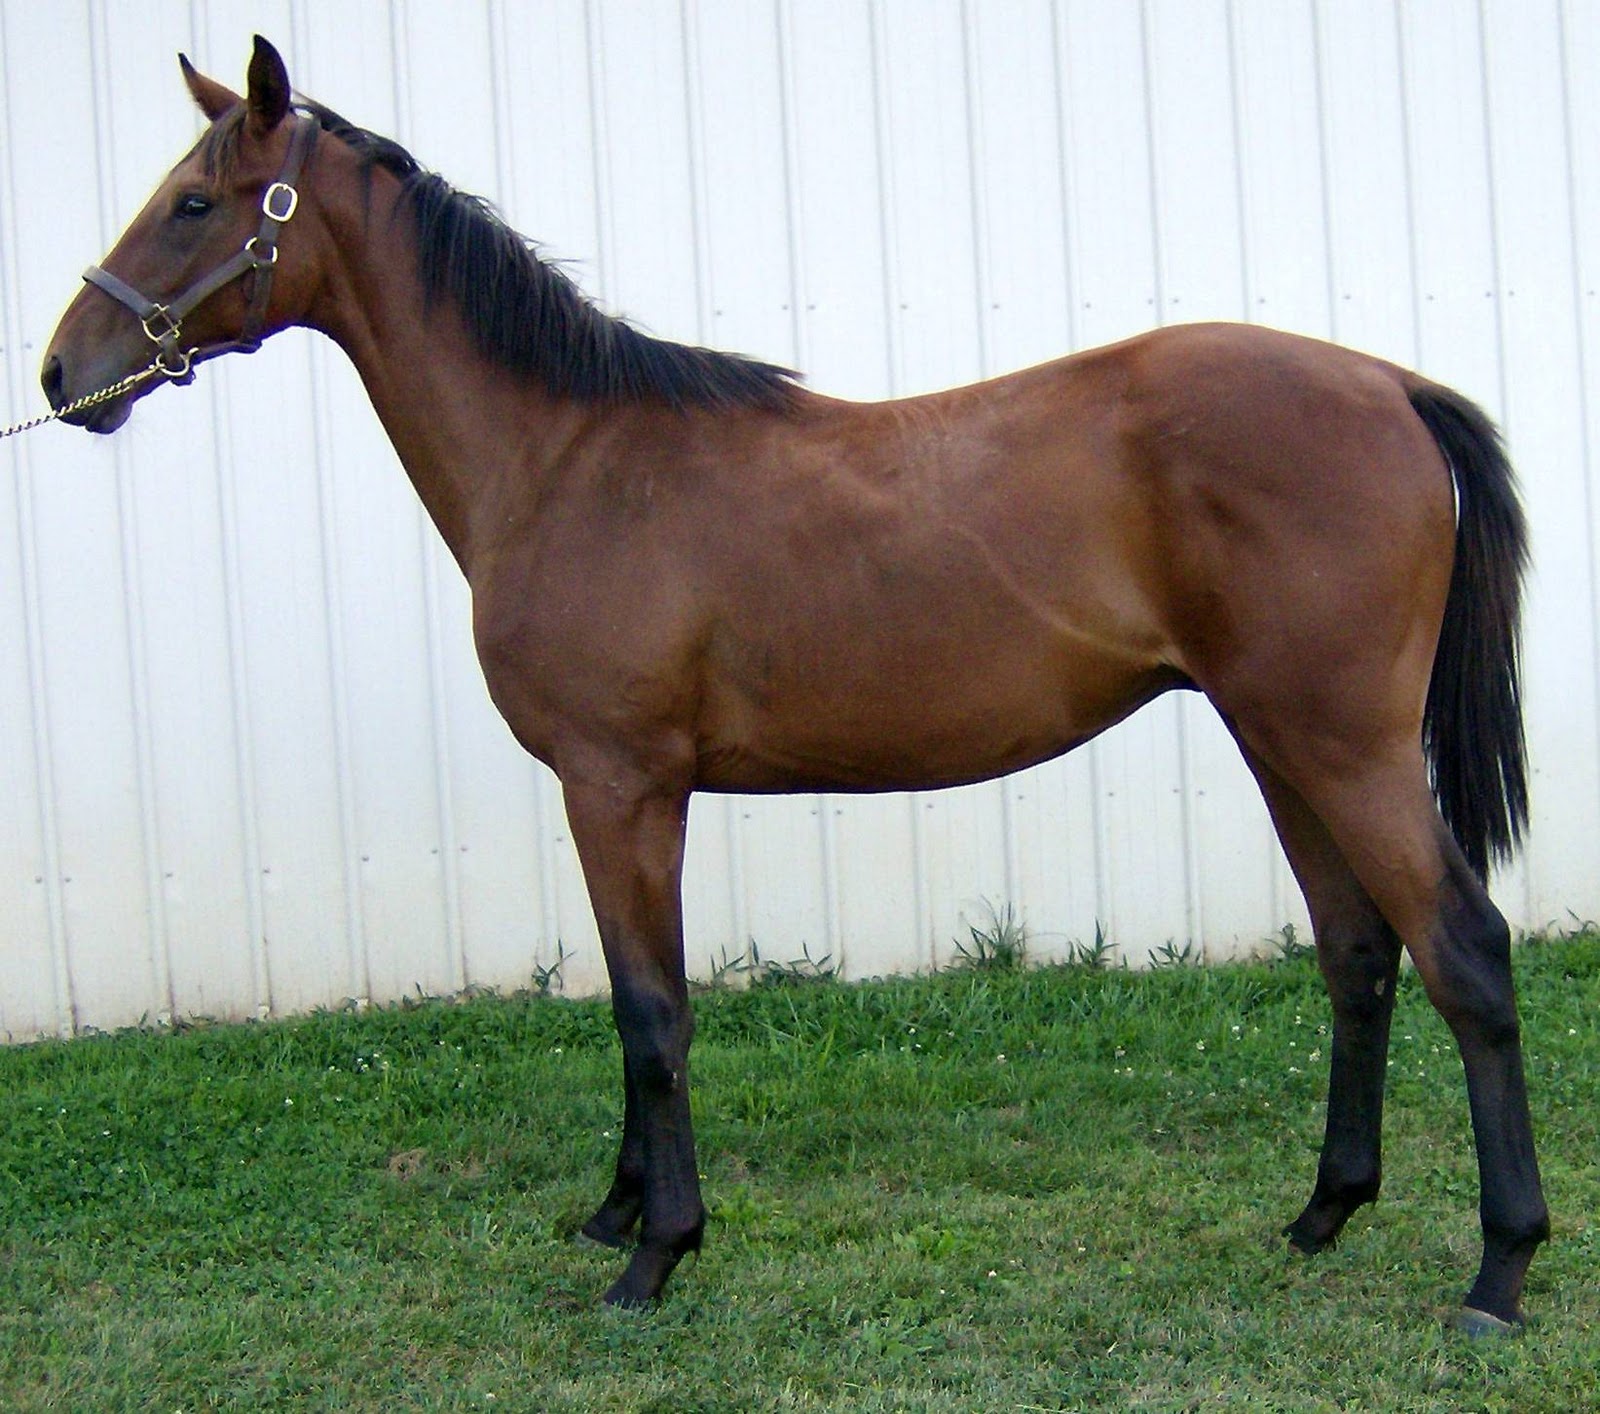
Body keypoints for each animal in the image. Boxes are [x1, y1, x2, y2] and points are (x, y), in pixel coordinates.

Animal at [41, 37, 1547, 1330]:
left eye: (191, 202)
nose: (64, 374)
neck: (571, 461)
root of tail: (1391, 387)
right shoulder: (622, 796)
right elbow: (631, 1000)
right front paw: (616, 1211)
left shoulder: (621, 785)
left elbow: (653, 1011)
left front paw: (653, 1254)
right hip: (1277, 738)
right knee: (1358, 952)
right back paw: (1321, 1215)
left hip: (1343, 745)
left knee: (1464, 950)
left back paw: (1497, 1271)